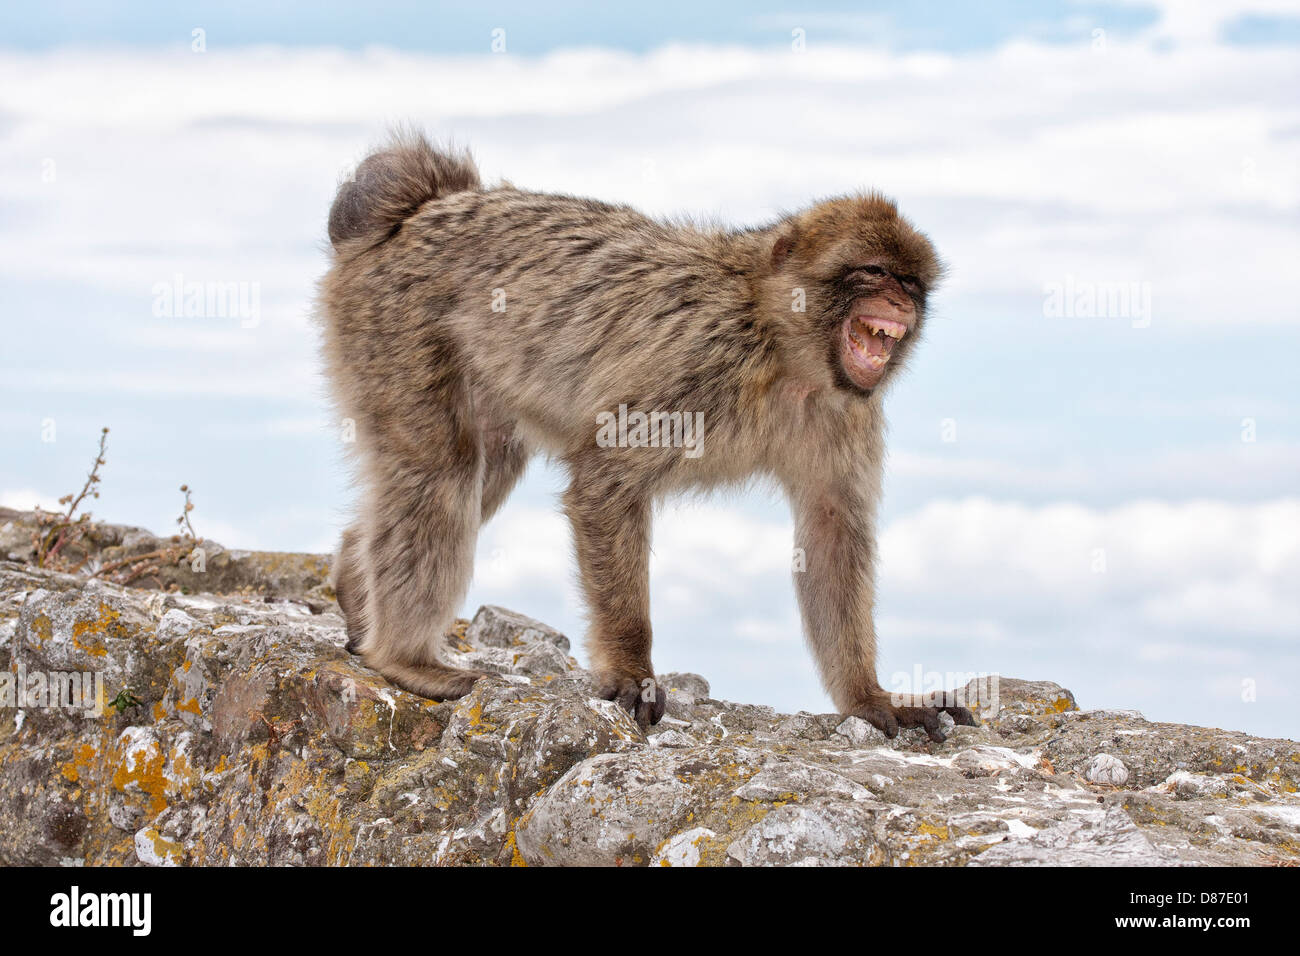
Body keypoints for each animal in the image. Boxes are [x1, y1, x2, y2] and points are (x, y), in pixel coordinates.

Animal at [320, 131, 976, 742]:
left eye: (910, 282)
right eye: (872, 271)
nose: (898, 301)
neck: (783, 349)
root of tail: (418, 211)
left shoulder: (848, 414)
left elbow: (832, 529)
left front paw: (870, 697)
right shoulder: (697, 362)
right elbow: (606, 484)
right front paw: (632, 670)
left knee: (486, 466)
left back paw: (354, 583)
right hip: (392, 323)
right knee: (443, 467)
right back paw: (404, 657)